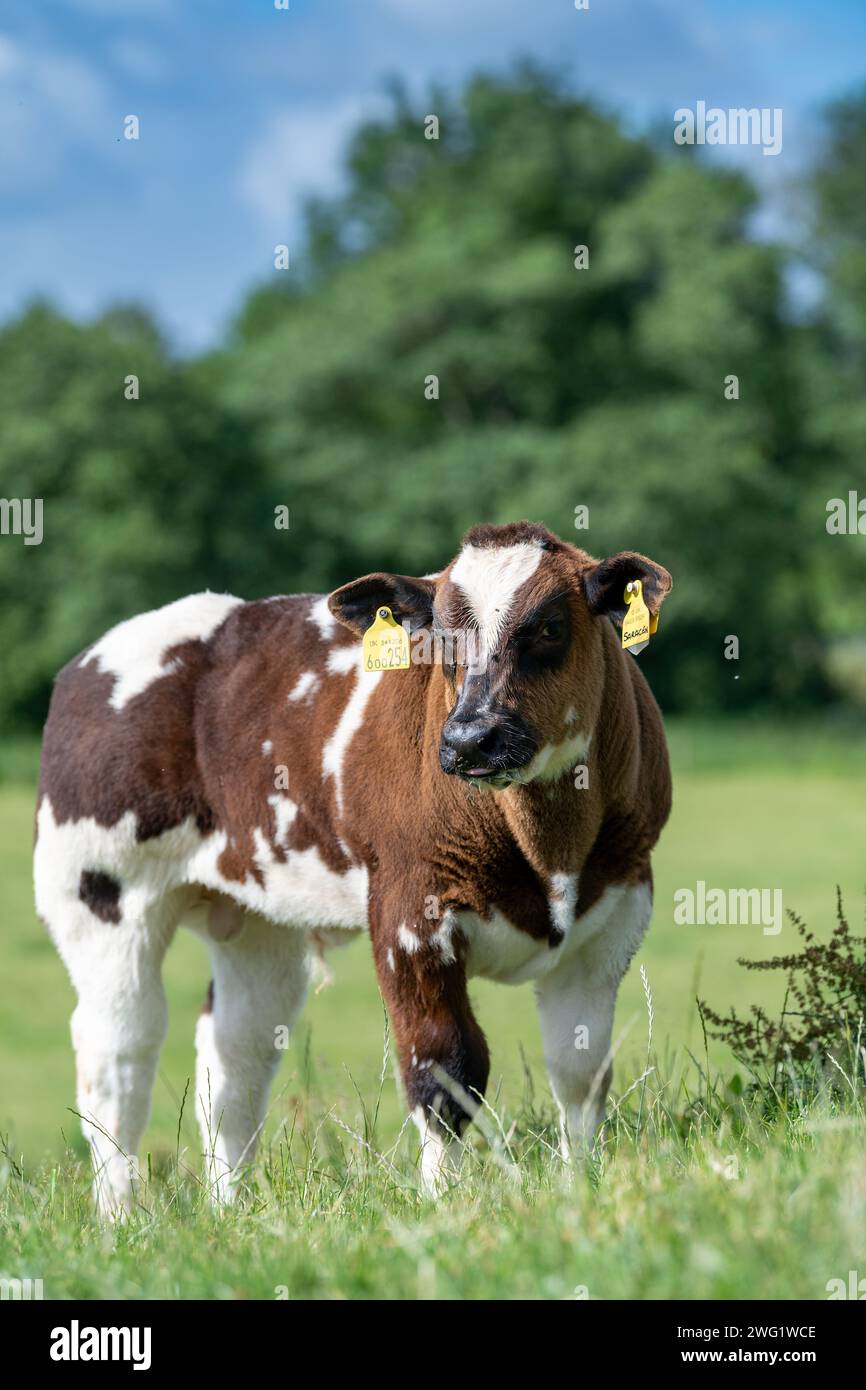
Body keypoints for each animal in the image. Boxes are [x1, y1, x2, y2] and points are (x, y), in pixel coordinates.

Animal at [34, 520, 672, 1216]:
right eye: (436, 635)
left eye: (551, 627)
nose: (470, 739)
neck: (548, 846)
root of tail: (90, 660)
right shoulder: (410, 914)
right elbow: (443, 1068)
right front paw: (443, 1201)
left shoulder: (616, 910)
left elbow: (580, 1069)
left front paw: (578, 1183)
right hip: (99, 894)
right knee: (119, 1050)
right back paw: (120, 1214)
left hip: (259, 918)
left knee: (235, 1055)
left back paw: (232, 1206)